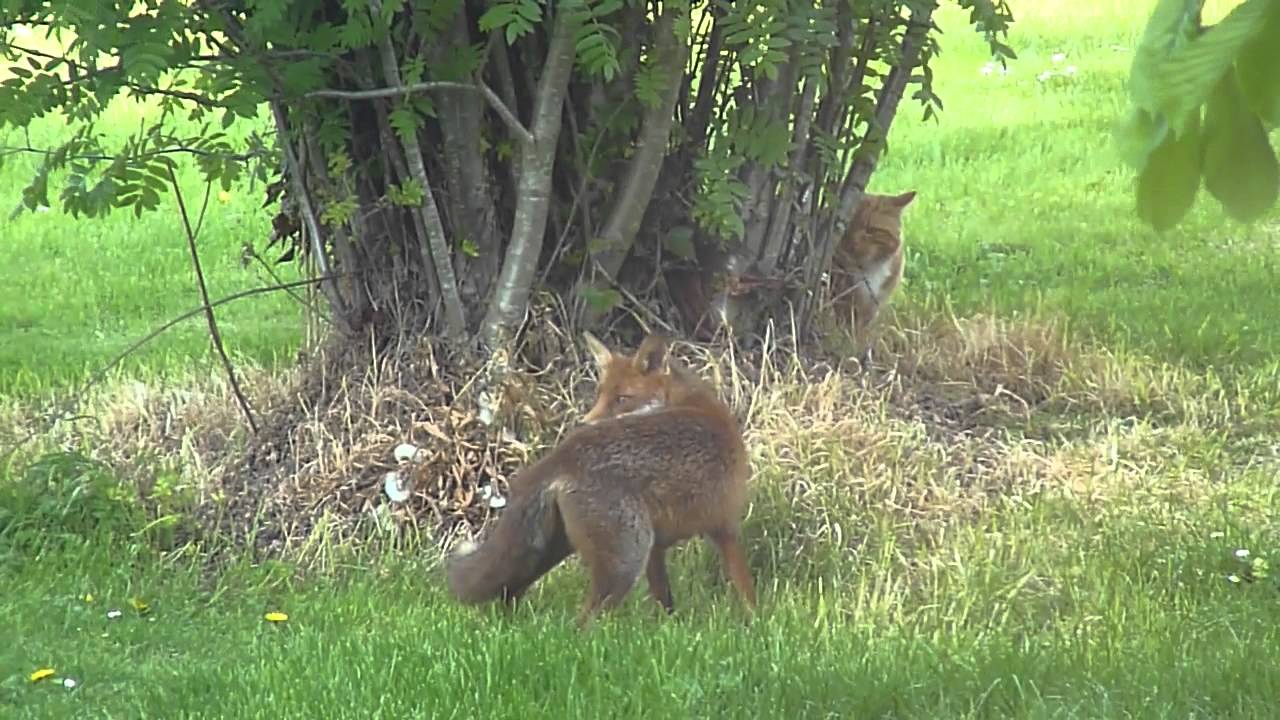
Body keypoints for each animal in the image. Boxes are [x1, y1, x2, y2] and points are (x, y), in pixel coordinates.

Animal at [444, 331, 756, 626]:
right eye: (600, 395)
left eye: (622, 399)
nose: (583, 423)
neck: (690, 402)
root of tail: (563, 456)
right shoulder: (724, 525)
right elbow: (745, 590)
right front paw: (753, 624)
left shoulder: (658, 546)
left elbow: (664, 600)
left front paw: (668, 628)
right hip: (625, 561)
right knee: (583, 622)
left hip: (555, 548)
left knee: (509, 591)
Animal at [829, 189, 917, 365]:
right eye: (846, 227)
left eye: (871, 230)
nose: (852, 245)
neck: (870, 269)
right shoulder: (845, 304)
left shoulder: (872, 307)